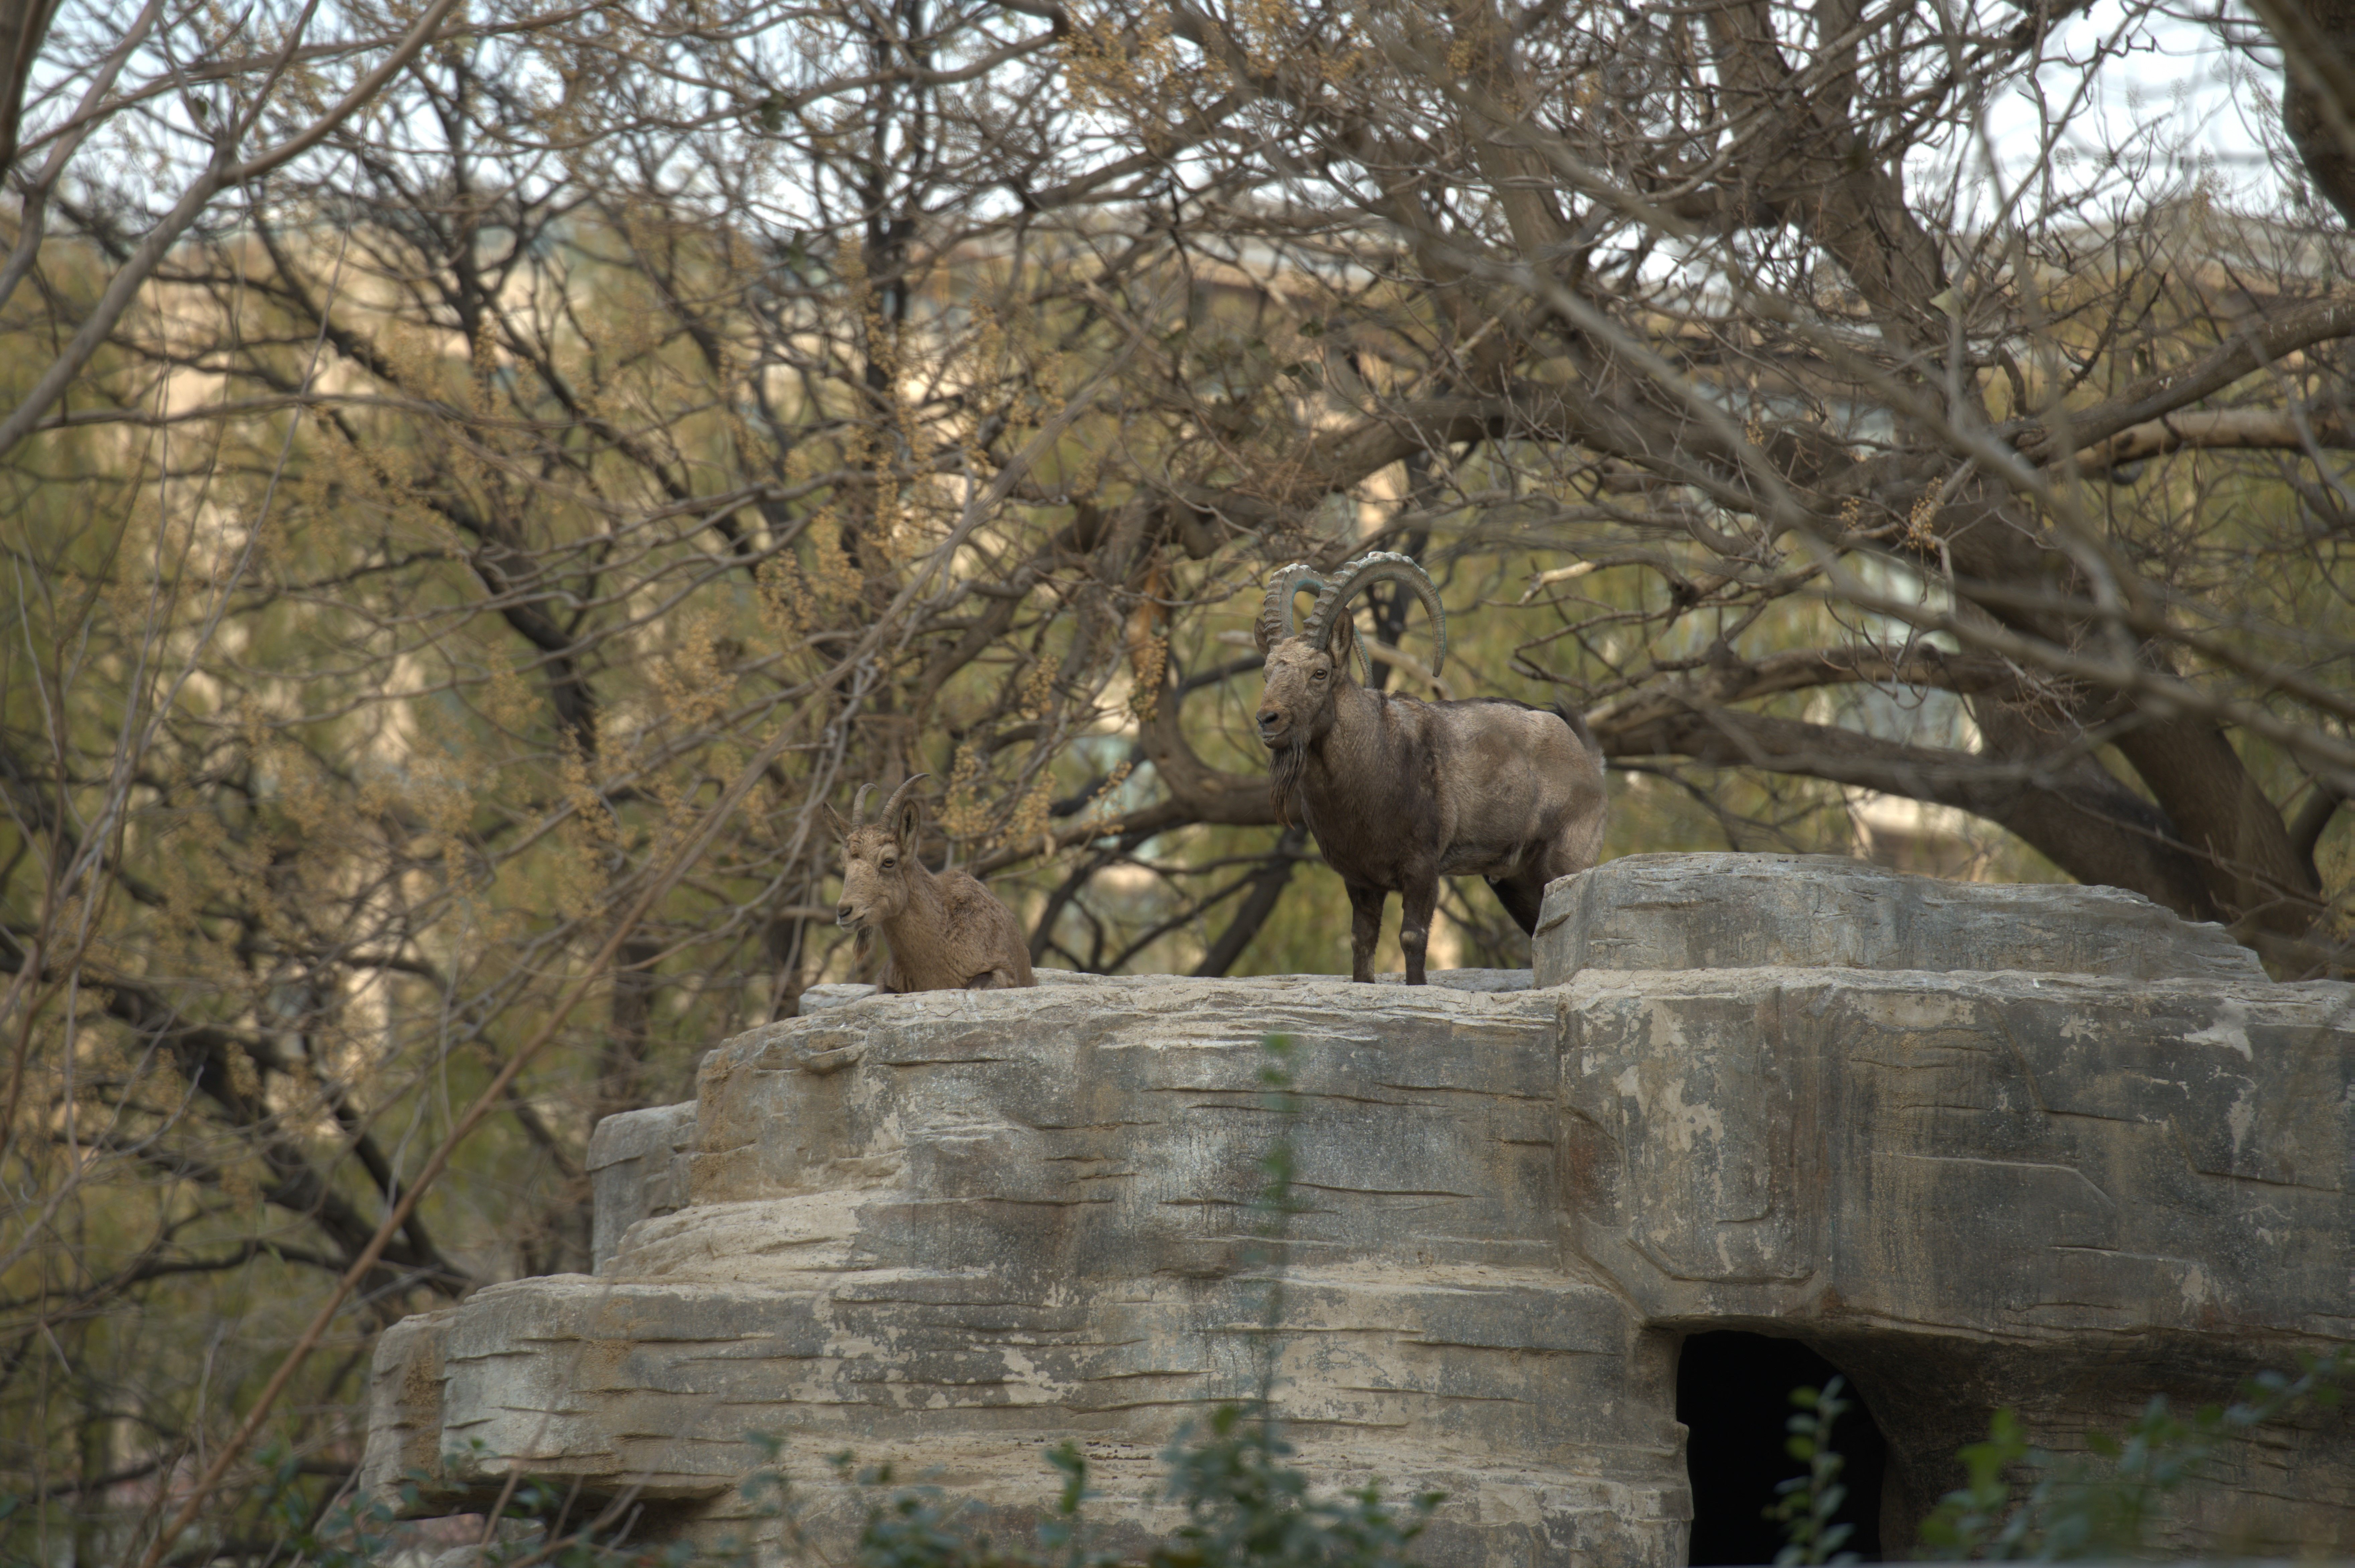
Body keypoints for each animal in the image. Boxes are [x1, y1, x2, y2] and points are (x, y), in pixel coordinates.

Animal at [1253, 552, 1608, 984]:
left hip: (1566, 859)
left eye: (1319, 673)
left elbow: (1411, 938)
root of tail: (1588, 758)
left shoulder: (1422, 867)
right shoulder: (1359, 878)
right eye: (1267, 672)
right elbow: (1361, 944)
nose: (1267, 719)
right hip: (1515, 881)